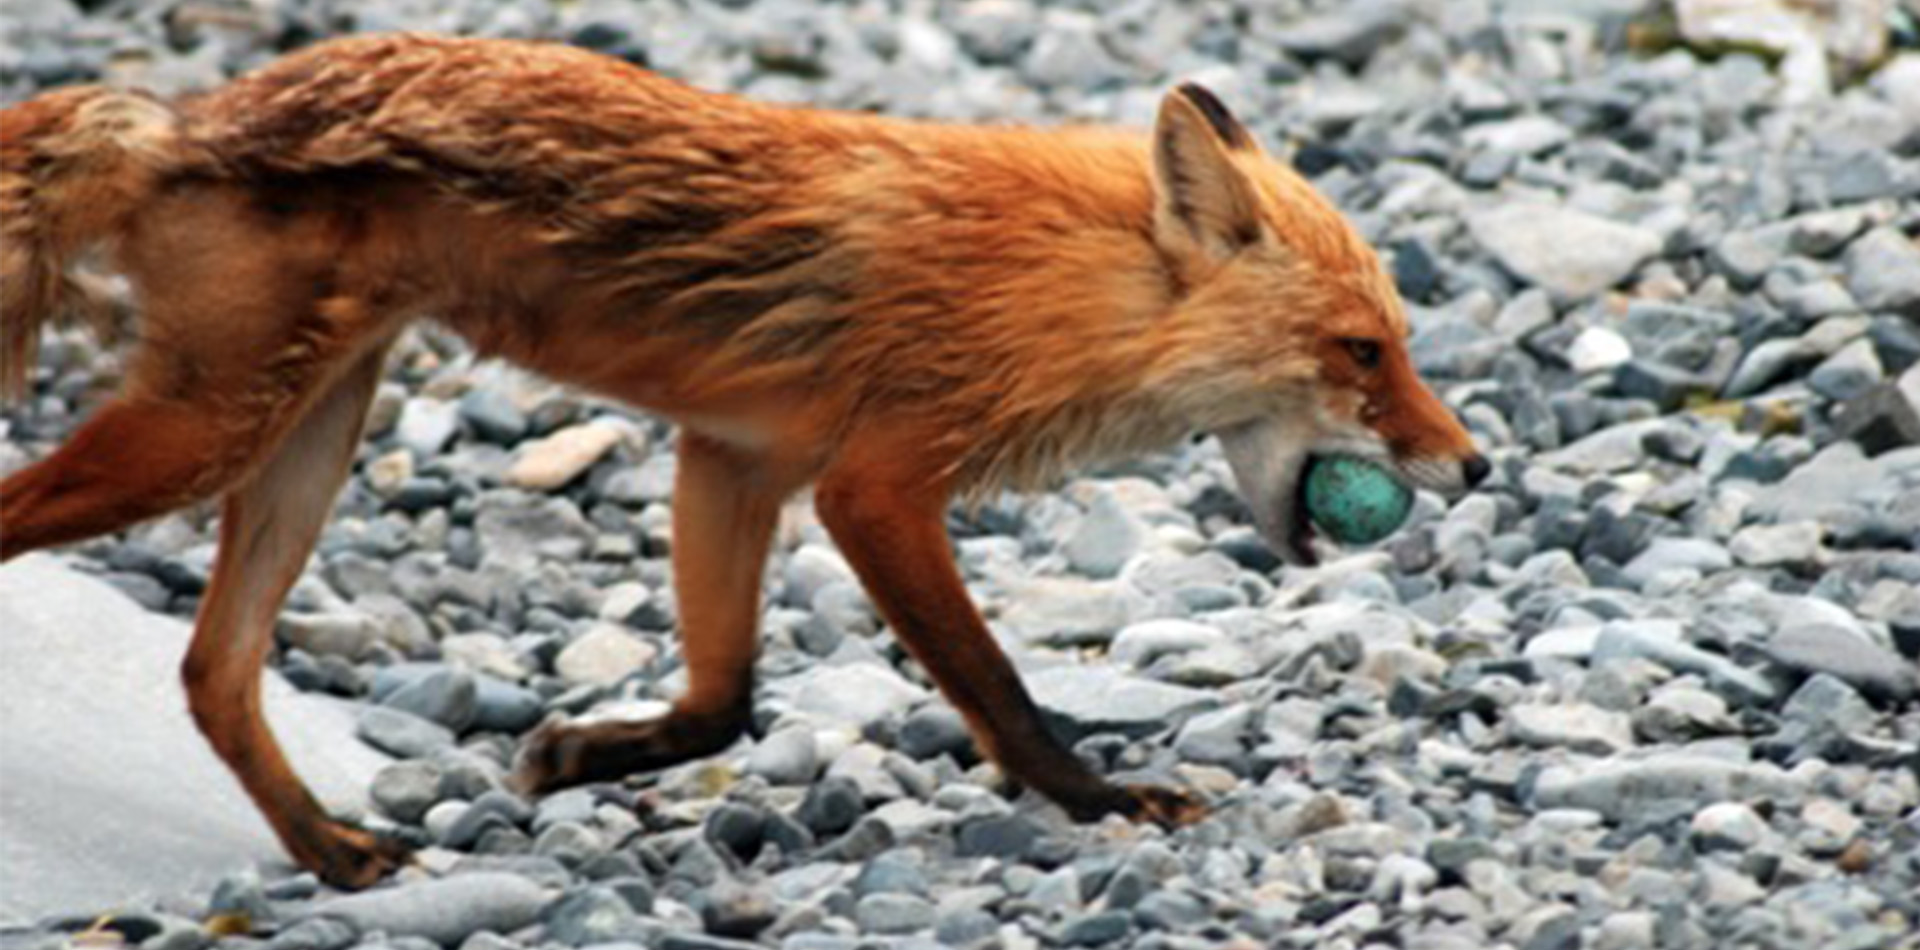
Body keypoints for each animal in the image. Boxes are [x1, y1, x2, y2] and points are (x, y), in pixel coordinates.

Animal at [0, 34, 1487, 888]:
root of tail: (187, 117)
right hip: (200, 437)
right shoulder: (872, 485)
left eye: (1401, 345)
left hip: (303, 437)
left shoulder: (735, 457)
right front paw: (1102, 796)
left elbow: (720, 705)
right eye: (1363, 351)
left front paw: (578, 755)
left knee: (212, 673)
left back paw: (329, 849)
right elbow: (1001, 693)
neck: (1056, 289)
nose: (1478, 468)